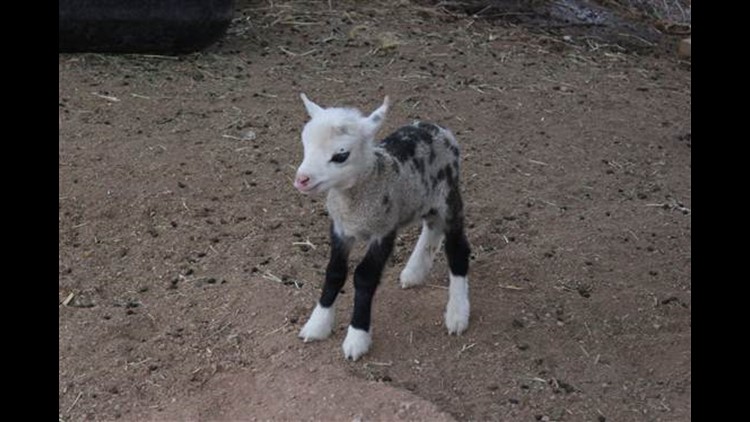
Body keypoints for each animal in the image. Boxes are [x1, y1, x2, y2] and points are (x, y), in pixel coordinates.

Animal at [293, 94, 471, 361]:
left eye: (341, 155)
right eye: (305, 144)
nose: (301, 180)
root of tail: (436, 128)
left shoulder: (384, 229)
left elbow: (364, 277)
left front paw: (357, 337)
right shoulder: (340, 229)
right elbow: (334, 272)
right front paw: (318, 324)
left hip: (449, 195)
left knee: (458, 248)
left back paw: (458, 313)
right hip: (422, 198)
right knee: (431, 227)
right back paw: (414, 272)